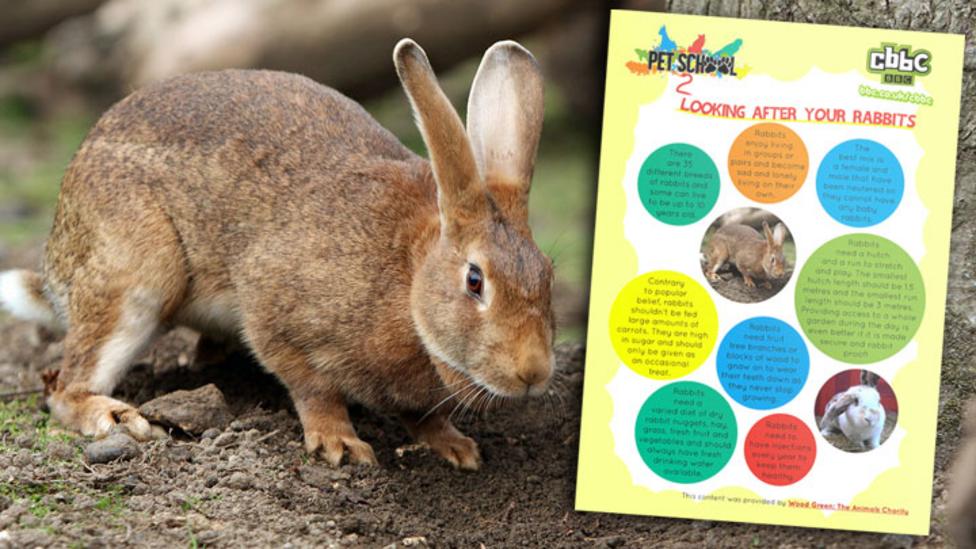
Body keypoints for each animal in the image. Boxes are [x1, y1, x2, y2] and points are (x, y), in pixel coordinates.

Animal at [0, 38, 555, 470]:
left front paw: (457, 448)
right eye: (475, 280)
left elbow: (423, 415)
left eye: (548, 276)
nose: (534, 372)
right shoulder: (275, 313)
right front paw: (341, 444)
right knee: (65, 387)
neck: (410, 276)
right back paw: (117, 417)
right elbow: (313, 387)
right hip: (135, 276)